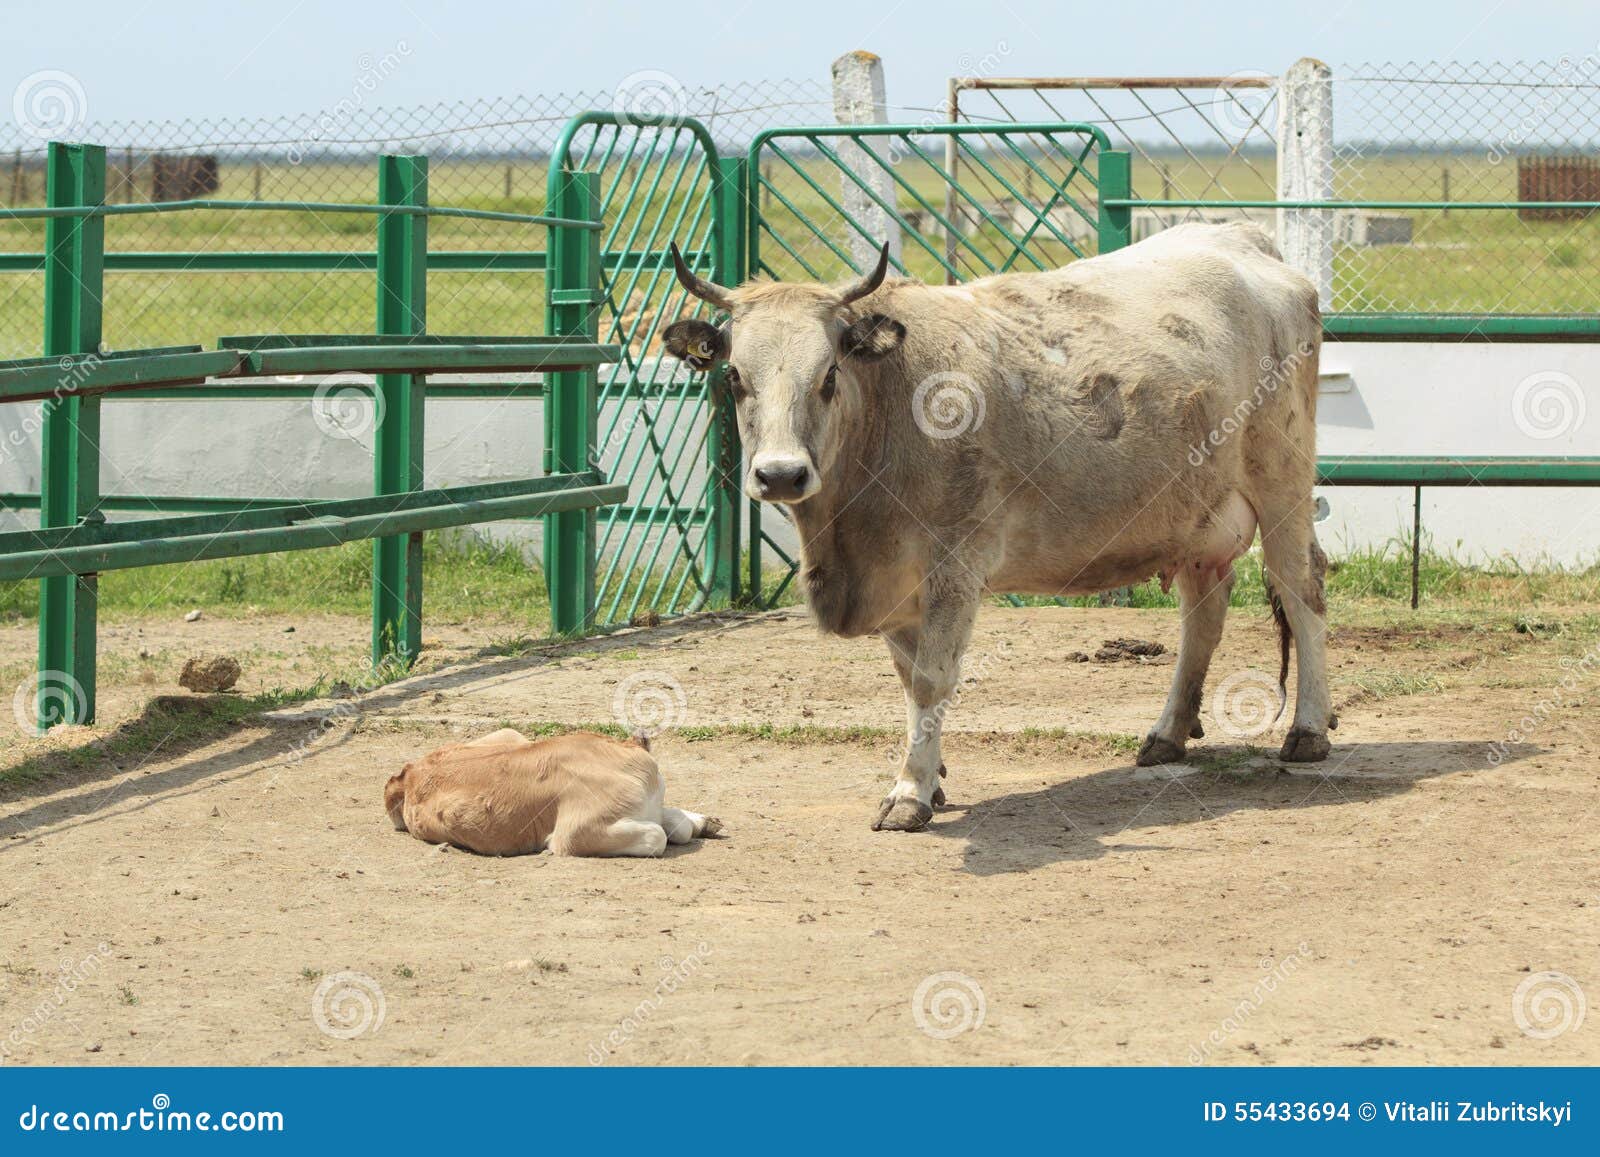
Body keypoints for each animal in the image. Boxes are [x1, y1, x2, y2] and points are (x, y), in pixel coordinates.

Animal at [384, 729, 722, 856]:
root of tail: (409, 772)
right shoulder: (574, 834)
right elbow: (658, 835)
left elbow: (677, 826)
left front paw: (705, 823)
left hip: (512, 734)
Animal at [661, 221, 1333, 833]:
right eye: (734, 377)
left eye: (828, 376)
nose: (780, 474)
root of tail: (1239, 238)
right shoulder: (894, 579)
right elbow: (907, 678)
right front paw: (931, 778)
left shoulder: (955, 566)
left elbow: (931, 679)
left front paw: (909, 793)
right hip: (1196, 519)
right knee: (1203, 614)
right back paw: (1168, 733)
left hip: (1282, 487)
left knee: (1302, 590)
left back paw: (1308, 729)